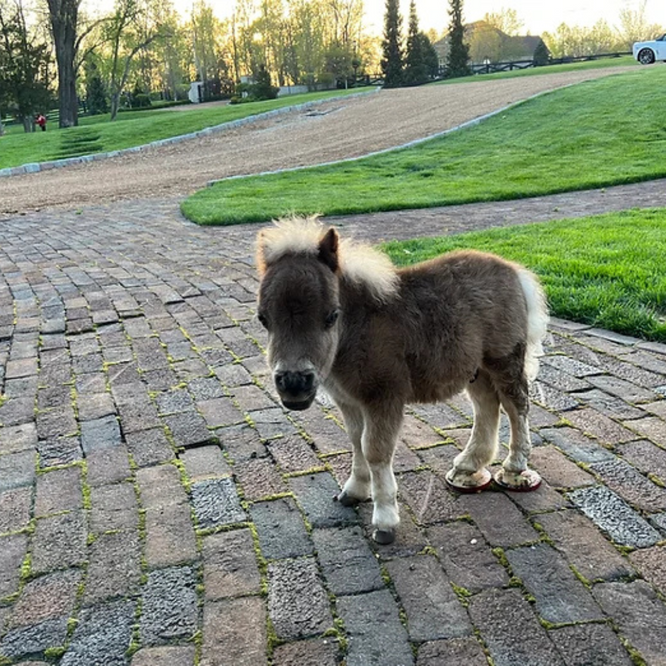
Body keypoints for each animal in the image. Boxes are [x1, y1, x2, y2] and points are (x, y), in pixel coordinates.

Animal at [255, 216, 548, 544]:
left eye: (331, 316)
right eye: (263, 319)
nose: (294, 384)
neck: (359, 329)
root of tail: (514, 270)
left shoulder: (384, 396)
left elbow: (375, 450)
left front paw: (384, 520)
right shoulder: (349, 400)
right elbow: (355, 441)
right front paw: (354, 491)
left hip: (504, 361)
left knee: (516, 405)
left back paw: (515, 467)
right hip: (477, 370)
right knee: (487, 406)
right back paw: (468, 465)